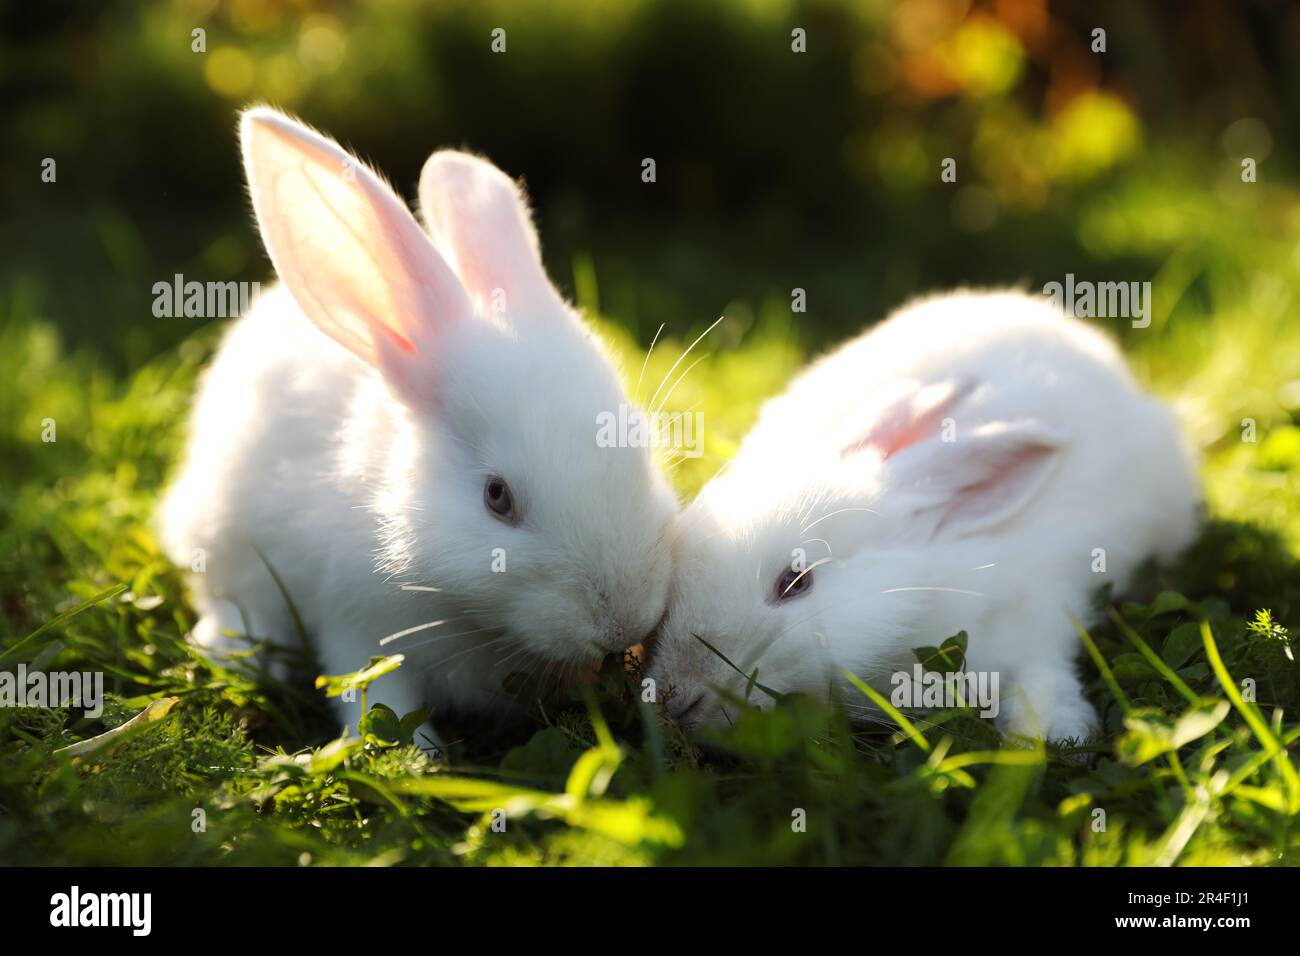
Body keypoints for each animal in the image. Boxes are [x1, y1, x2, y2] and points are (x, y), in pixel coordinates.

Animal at [159, 108, 677, 747]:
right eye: (497, 497)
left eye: (642, 449)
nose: (623, 621)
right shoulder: (357, 621)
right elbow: (381, 697)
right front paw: (421, 755)